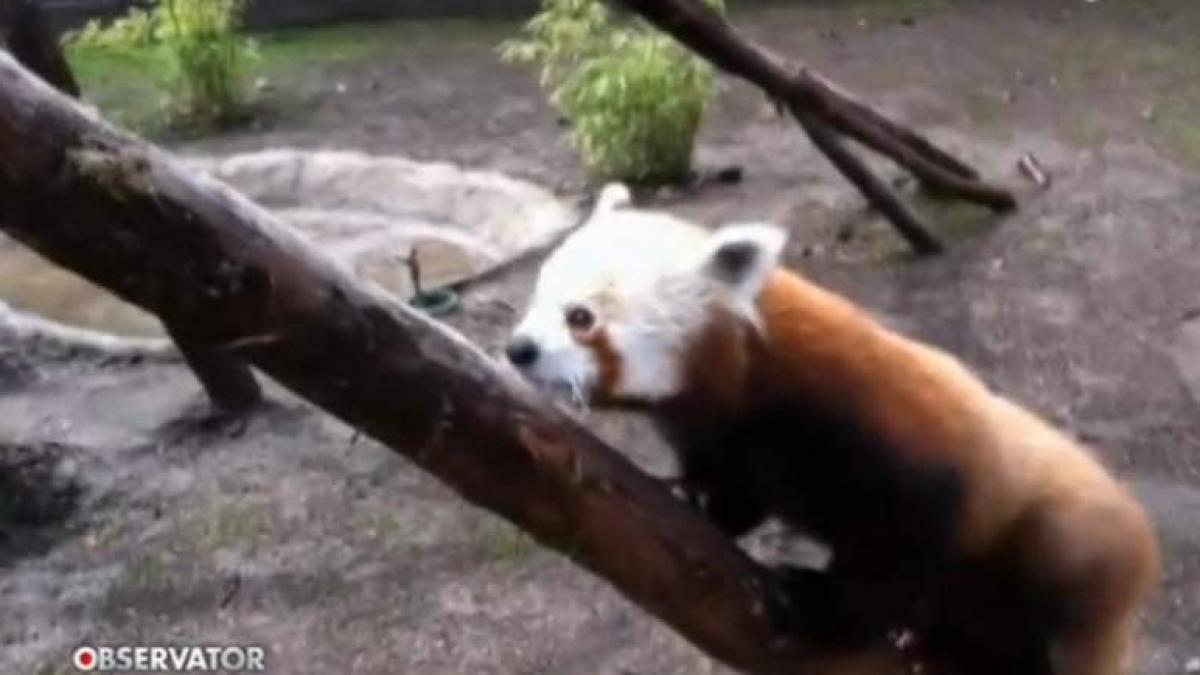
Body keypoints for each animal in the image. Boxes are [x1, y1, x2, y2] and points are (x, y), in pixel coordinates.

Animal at [505, 184, 1159, 675]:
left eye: (580, 317)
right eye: (534, 299)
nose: (518, 349)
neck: (740, 392)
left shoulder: (879, 439)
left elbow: (902, 541)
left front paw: (820, 602)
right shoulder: (723, 438)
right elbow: (733, 490)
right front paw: (699, 499)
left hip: (1067, 551)